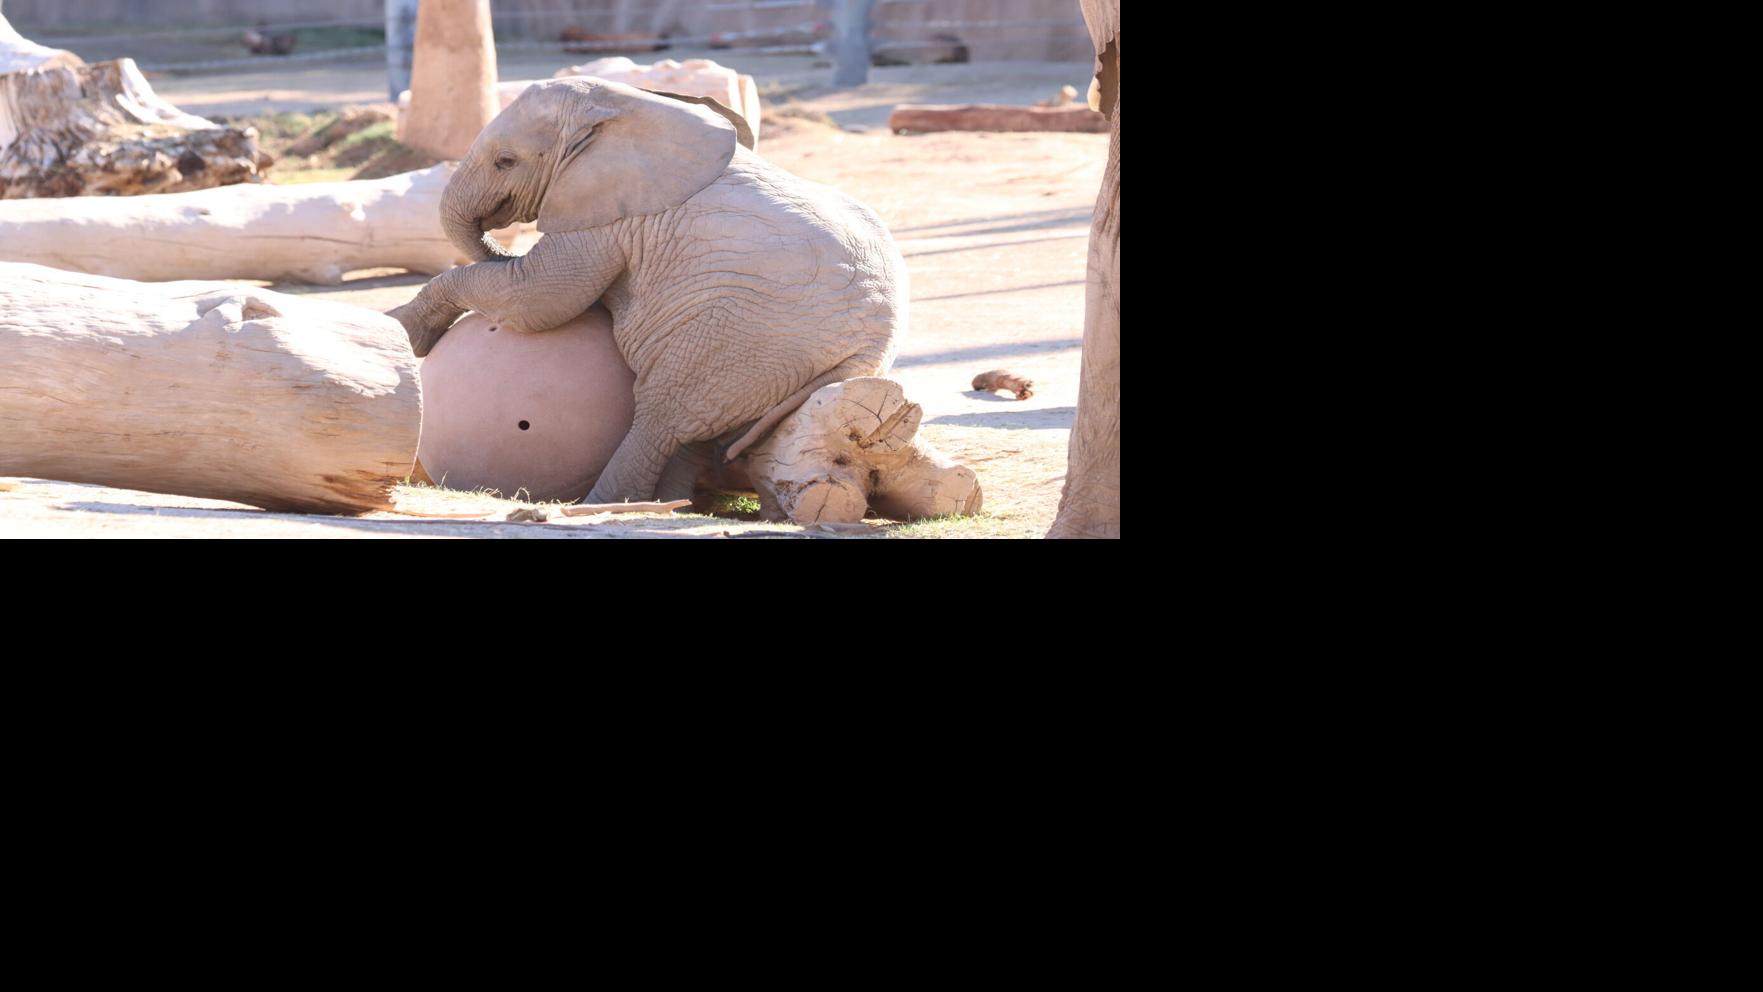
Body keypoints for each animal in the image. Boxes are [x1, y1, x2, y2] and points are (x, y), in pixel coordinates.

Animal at [388, 76, 906, 504]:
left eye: (505, 161)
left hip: (747, 339)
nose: (498, 242)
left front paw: (398, 328)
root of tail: (872, 350)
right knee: (692, 432)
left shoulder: (608, 215)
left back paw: (603, 505)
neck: (626, 106)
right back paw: (674, 503)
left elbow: (539, 299)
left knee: (661, 415)